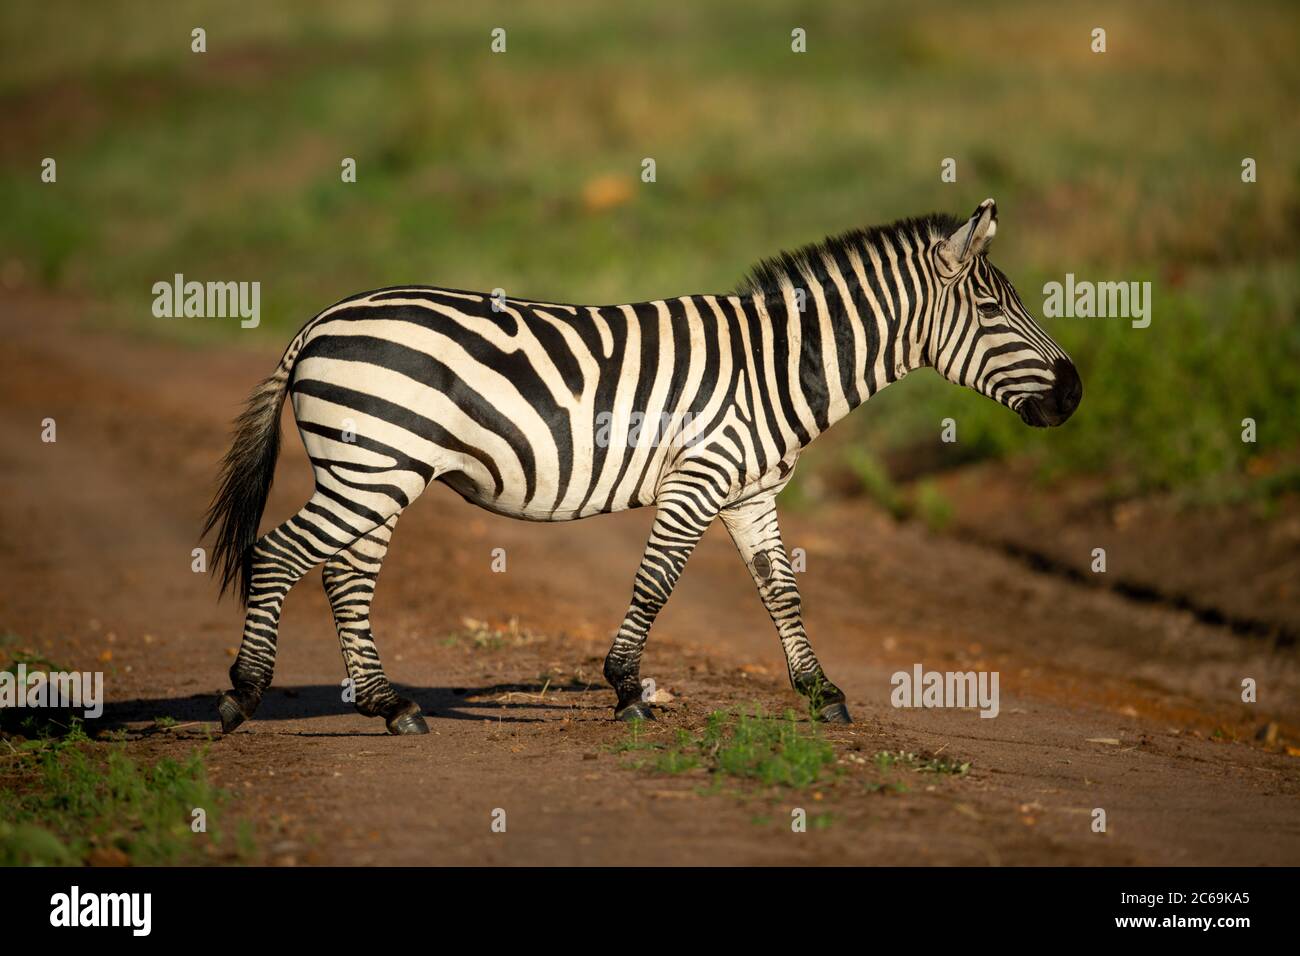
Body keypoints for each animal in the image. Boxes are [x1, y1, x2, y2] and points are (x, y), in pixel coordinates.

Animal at [204, 198, 1081, 736]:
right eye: (994, 308)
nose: (1074, 392)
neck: (778, 367)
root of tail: (320, 320)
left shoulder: (752, 494)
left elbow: (782, 593)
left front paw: (821, 692)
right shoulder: (700, 476)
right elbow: (656, 583)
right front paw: (627, 688)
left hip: (378, 472)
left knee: (343, 576)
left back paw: (390, 706)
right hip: (373, 467)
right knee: (278, 555)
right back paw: (243, 694)